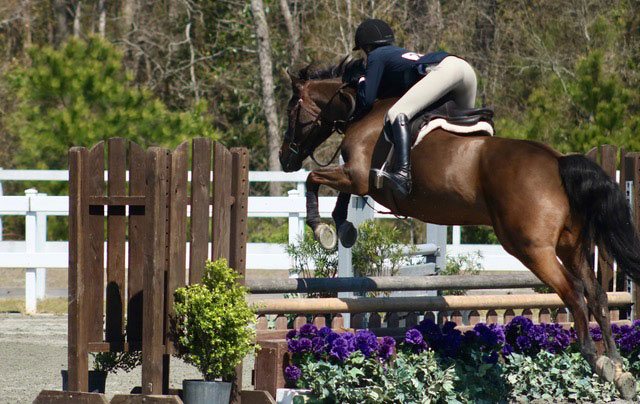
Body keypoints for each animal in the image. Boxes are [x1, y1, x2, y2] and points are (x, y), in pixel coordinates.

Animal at [278, 61, 640, 399]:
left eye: (292, 108)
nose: (285, 159)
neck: (360, 107)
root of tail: (558, 161)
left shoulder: (358, 176)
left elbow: (315, 179)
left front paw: (322, 229)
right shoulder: (358, 179)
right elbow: (335, 192)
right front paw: (341, 227)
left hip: (531, 248)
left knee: (574, 292)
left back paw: (595, 359)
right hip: (571, 245)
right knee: (597, 294)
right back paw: (619, 370)